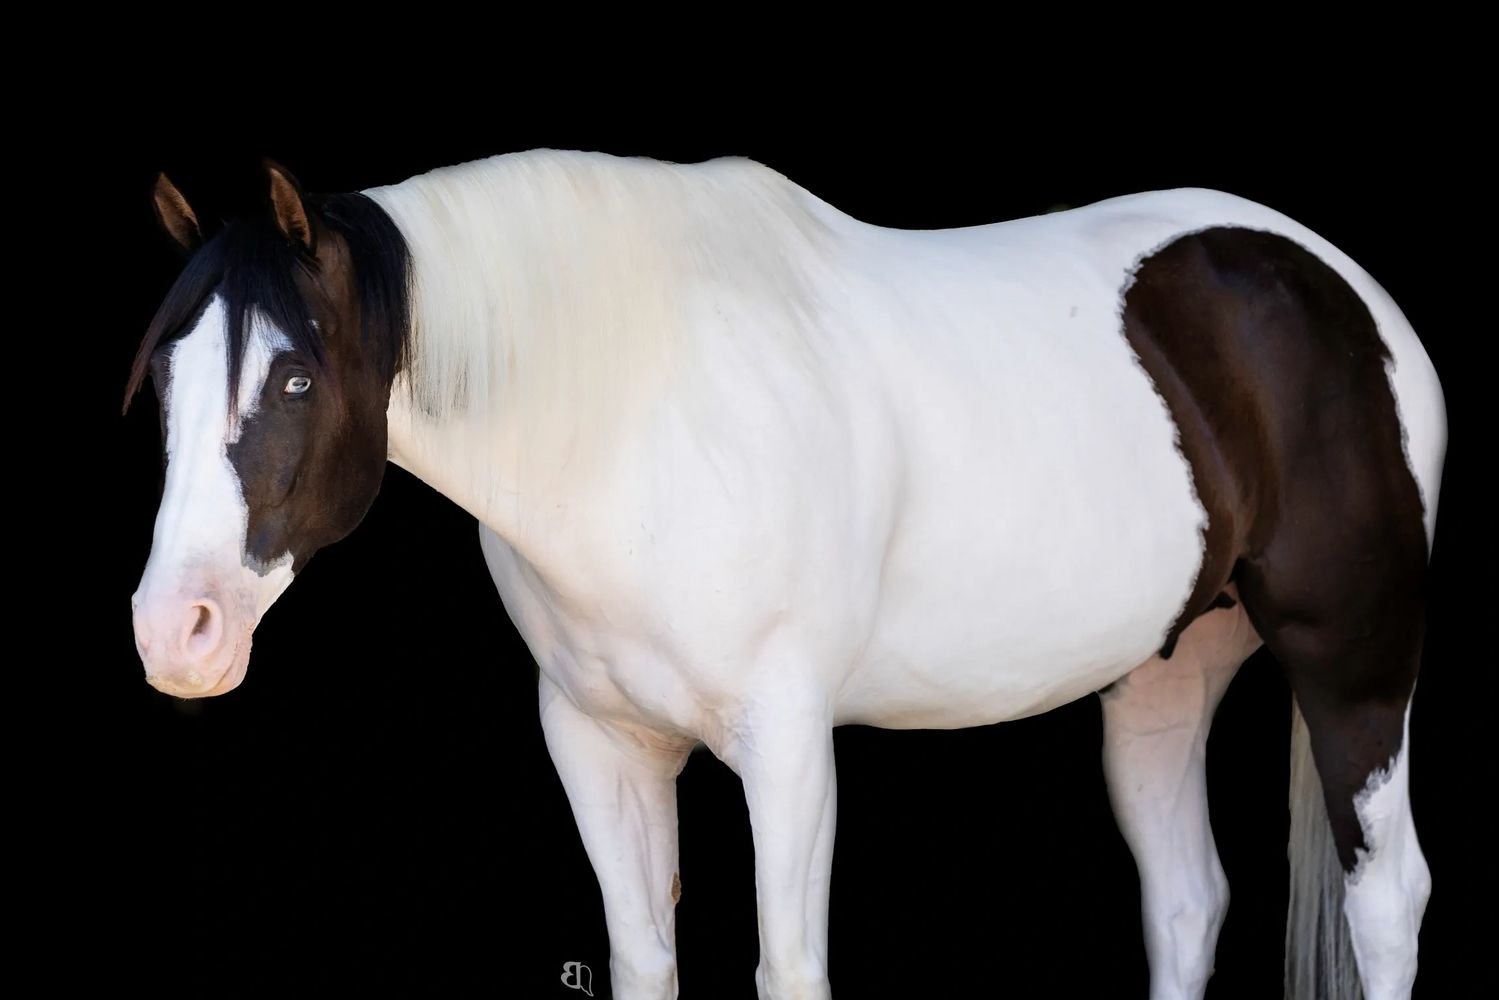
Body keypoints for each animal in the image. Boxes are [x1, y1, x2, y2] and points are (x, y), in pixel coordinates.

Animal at [125, 150, 1444, 1000]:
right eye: (165, 386)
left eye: (296, 378)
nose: (175, 632)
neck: (632, 418)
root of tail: (1334, 283)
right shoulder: (597, 745)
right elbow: (643, 960)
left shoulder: (789, 745)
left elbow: (788, 966)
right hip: (1163, 674)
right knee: (1182, 902)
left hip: (1354, 664)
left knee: (1385, 897)